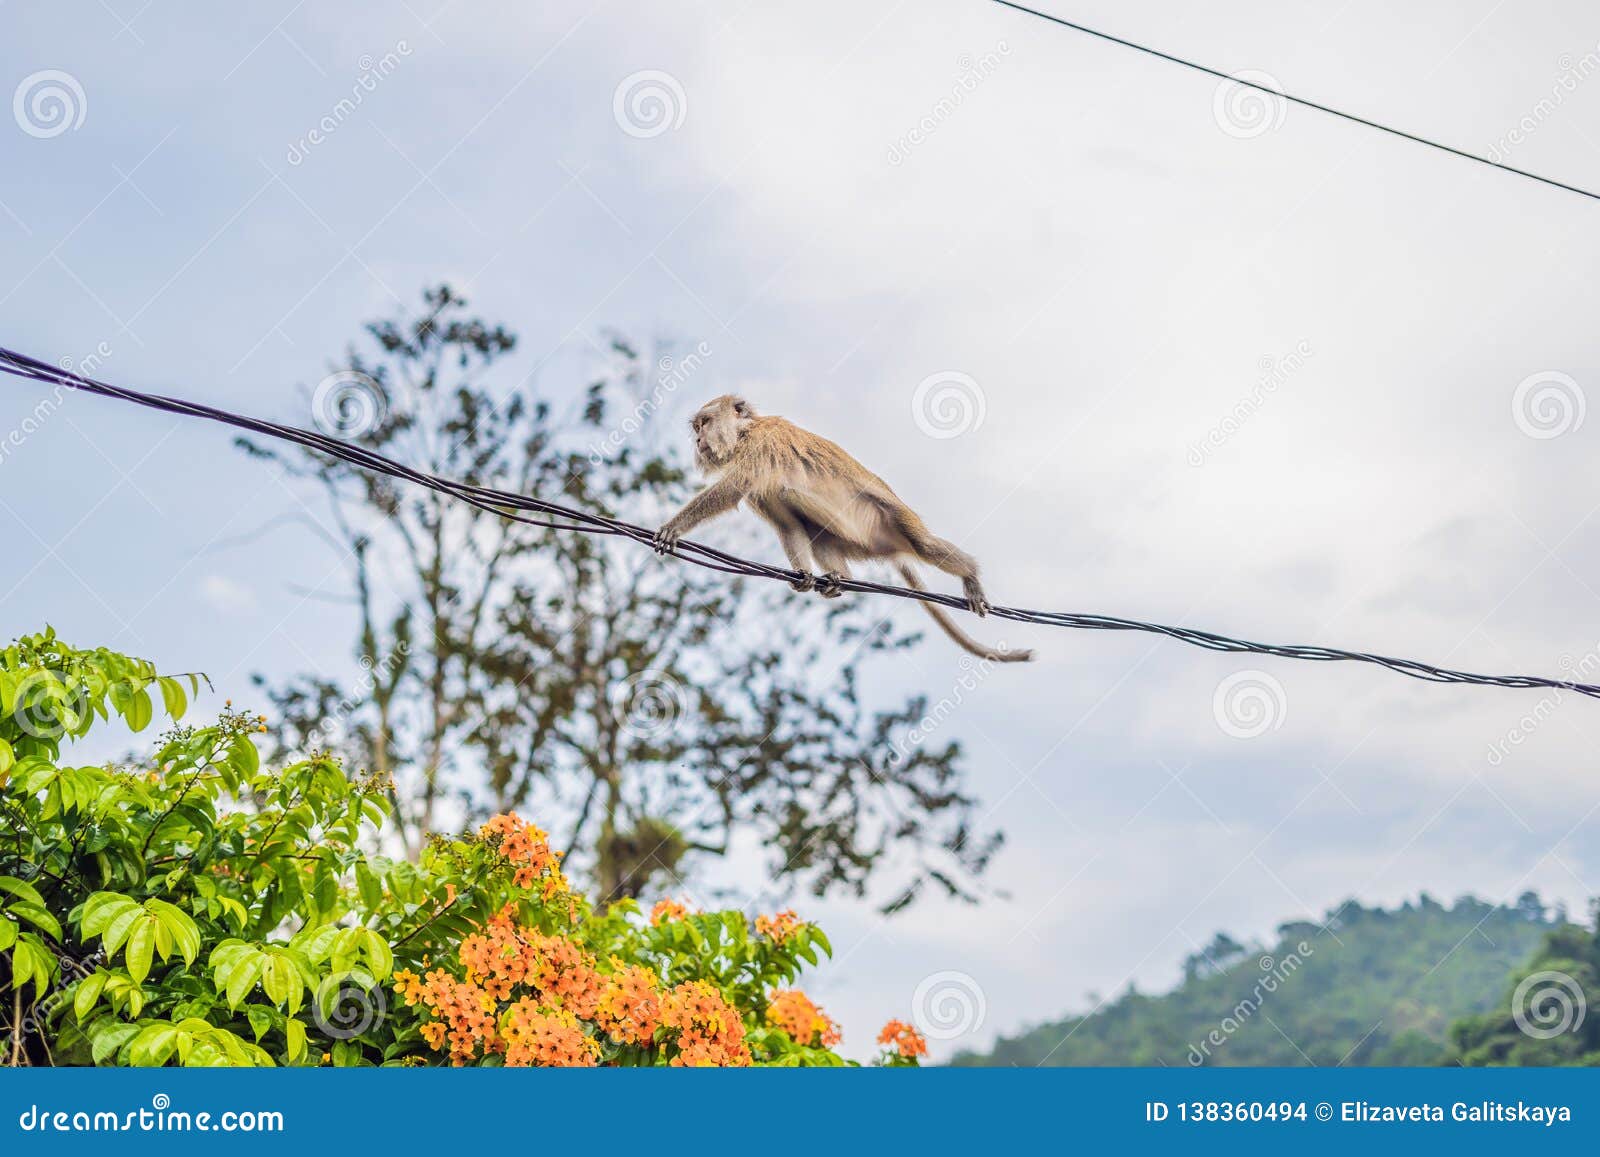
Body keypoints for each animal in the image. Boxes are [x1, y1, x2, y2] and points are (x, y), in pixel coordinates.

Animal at [652, 395, 1033, 663]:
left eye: (705, 423)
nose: (698, 440)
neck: (746, 430)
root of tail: (890, 546)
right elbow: (788, 523)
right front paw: (804, 574)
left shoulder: (760, 446)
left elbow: (732, 489)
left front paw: (673, 527)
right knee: (813, 525)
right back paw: (838, 577)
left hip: (896, 520)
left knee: (924, 544)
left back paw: (971, 576)